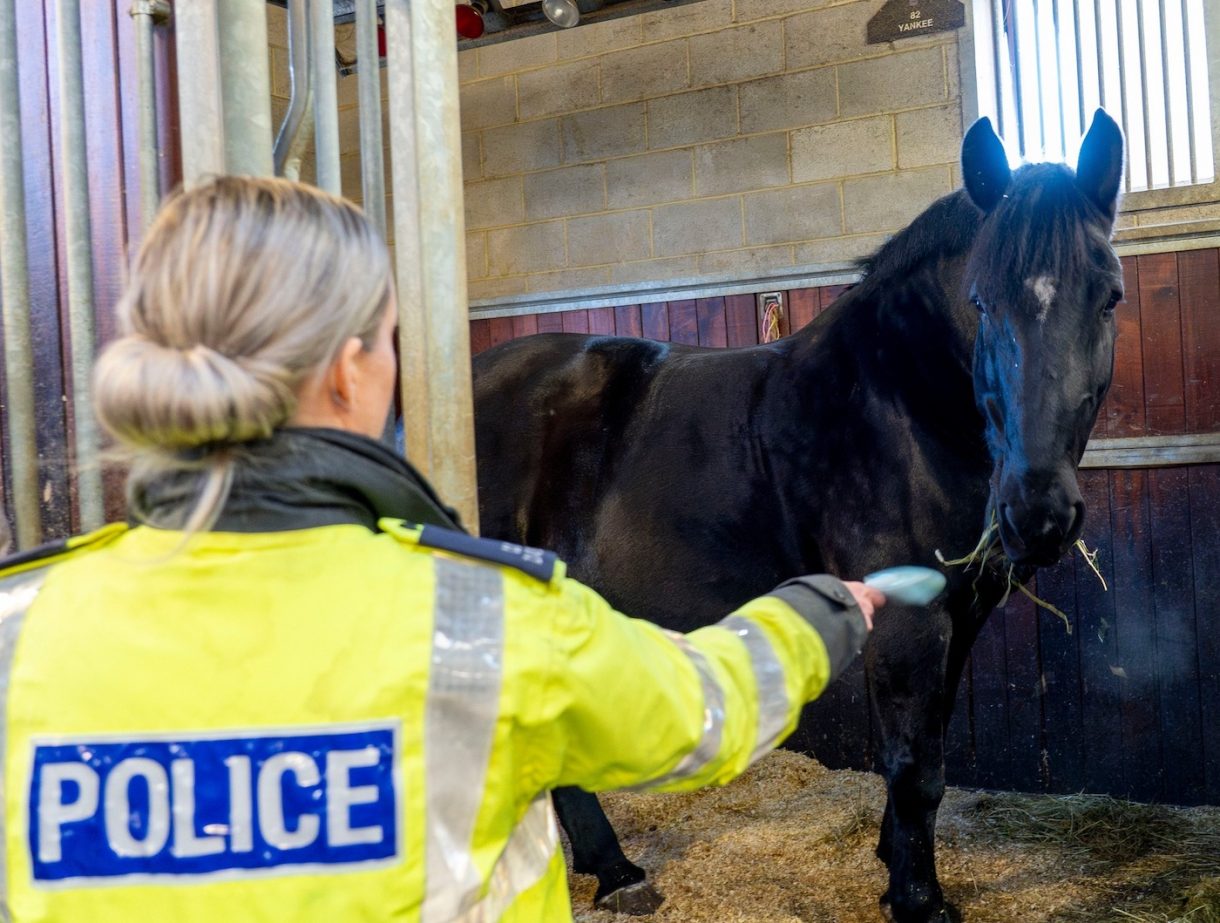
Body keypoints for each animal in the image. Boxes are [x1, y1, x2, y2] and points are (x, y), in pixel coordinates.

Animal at [471, 111, 1124, 923]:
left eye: (1109, 297)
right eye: (979, 302)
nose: (1037, 511)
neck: (900, 409)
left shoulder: (963, 614)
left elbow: (929, 743)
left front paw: (893, 864)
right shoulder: (910, 618)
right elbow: (916, 765)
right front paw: (919, 900)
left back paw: (615, 871)